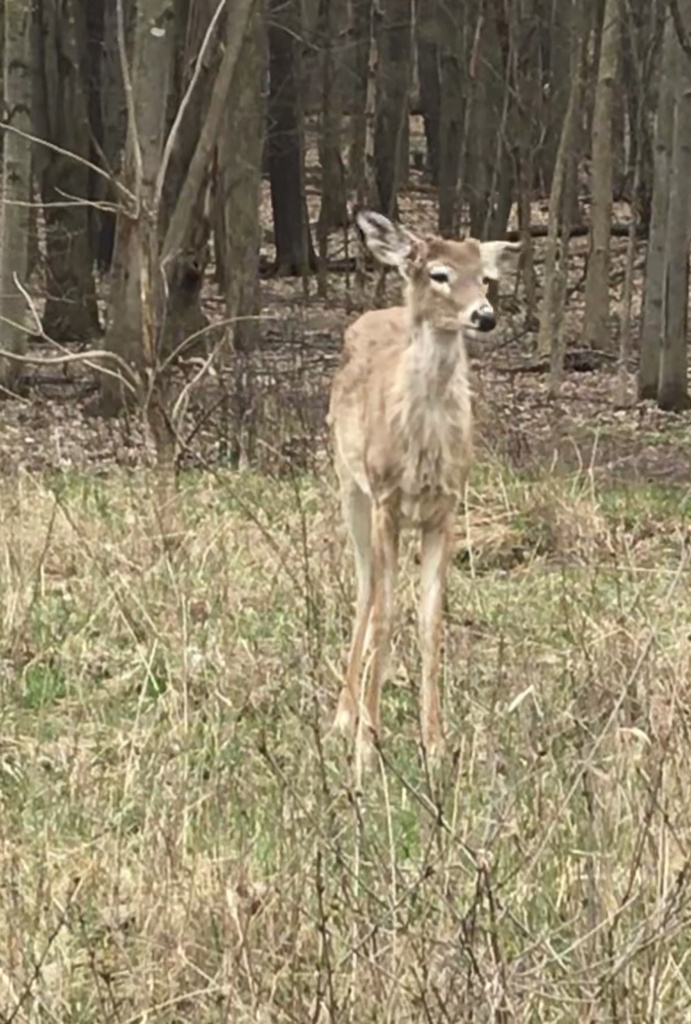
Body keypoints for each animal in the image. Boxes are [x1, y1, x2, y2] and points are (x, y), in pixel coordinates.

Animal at [328, 209, 520, 761]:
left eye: (486, 278)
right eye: (439, 273)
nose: (485, 316)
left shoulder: (447, 508)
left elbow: (431, 622)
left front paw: (435, 743)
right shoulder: (385, 499)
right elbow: (386, 612)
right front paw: (367, 744)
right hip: (349, 486)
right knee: (365, 589)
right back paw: (343, 715)